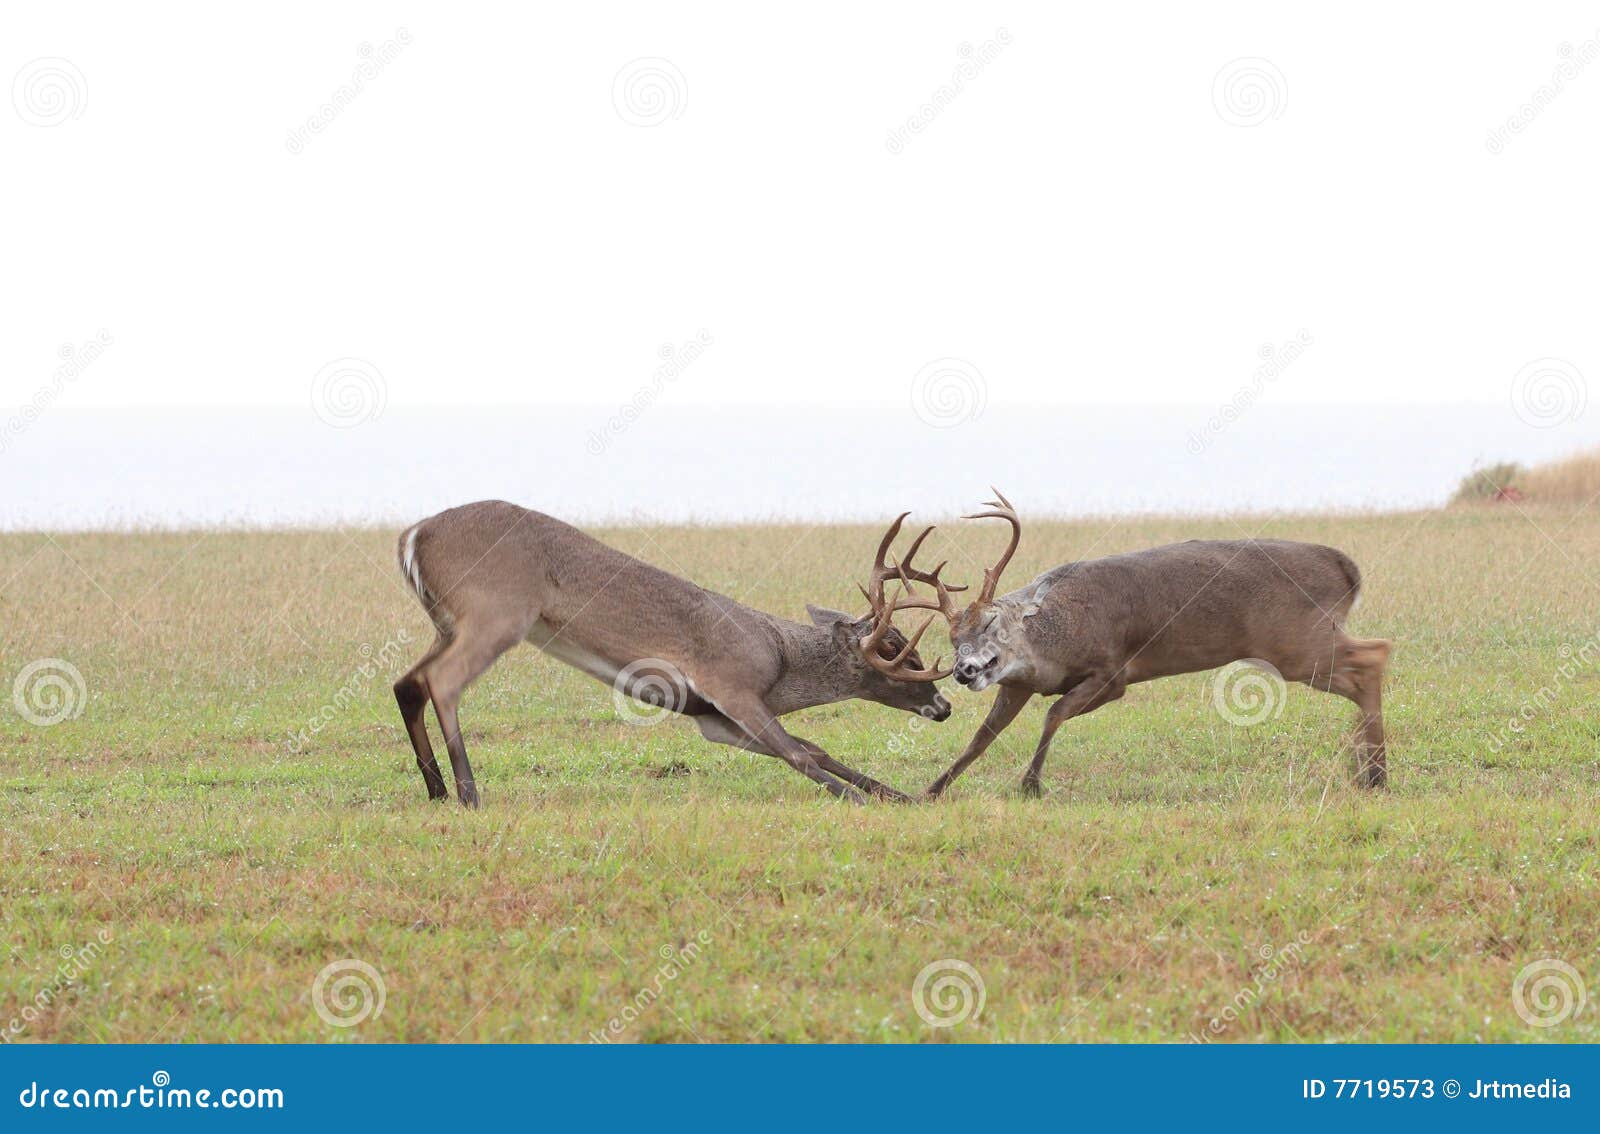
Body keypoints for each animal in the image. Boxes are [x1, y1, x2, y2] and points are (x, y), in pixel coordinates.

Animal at [391, 500, 953, 807]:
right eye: (897, 649)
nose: (944, 706)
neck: (781, 660)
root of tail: (412, 535)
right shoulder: (731, 684)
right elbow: (796, 752)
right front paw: (860, 799)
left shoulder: (713, 720)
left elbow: (811, 748)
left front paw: (900, 795)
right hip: (497, 613)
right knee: (442, 681)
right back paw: (469, 794)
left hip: (448, 622)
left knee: (407, 682)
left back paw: (437, 790)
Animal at [900, 490, 1391, 799]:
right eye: (953, 639)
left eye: (990, 621)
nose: (963, 670)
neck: (1056, 635)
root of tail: (1347, 569)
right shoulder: (1019, 683)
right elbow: (982, 737)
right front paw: (929, 790)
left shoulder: (1112, 674)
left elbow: (1054, 712)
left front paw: (1031, 785)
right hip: (1303, 643)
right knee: (1367, 664)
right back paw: (1366, 769)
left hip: (1296, 643)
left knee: (1374, 655)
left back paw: (1375, 774)